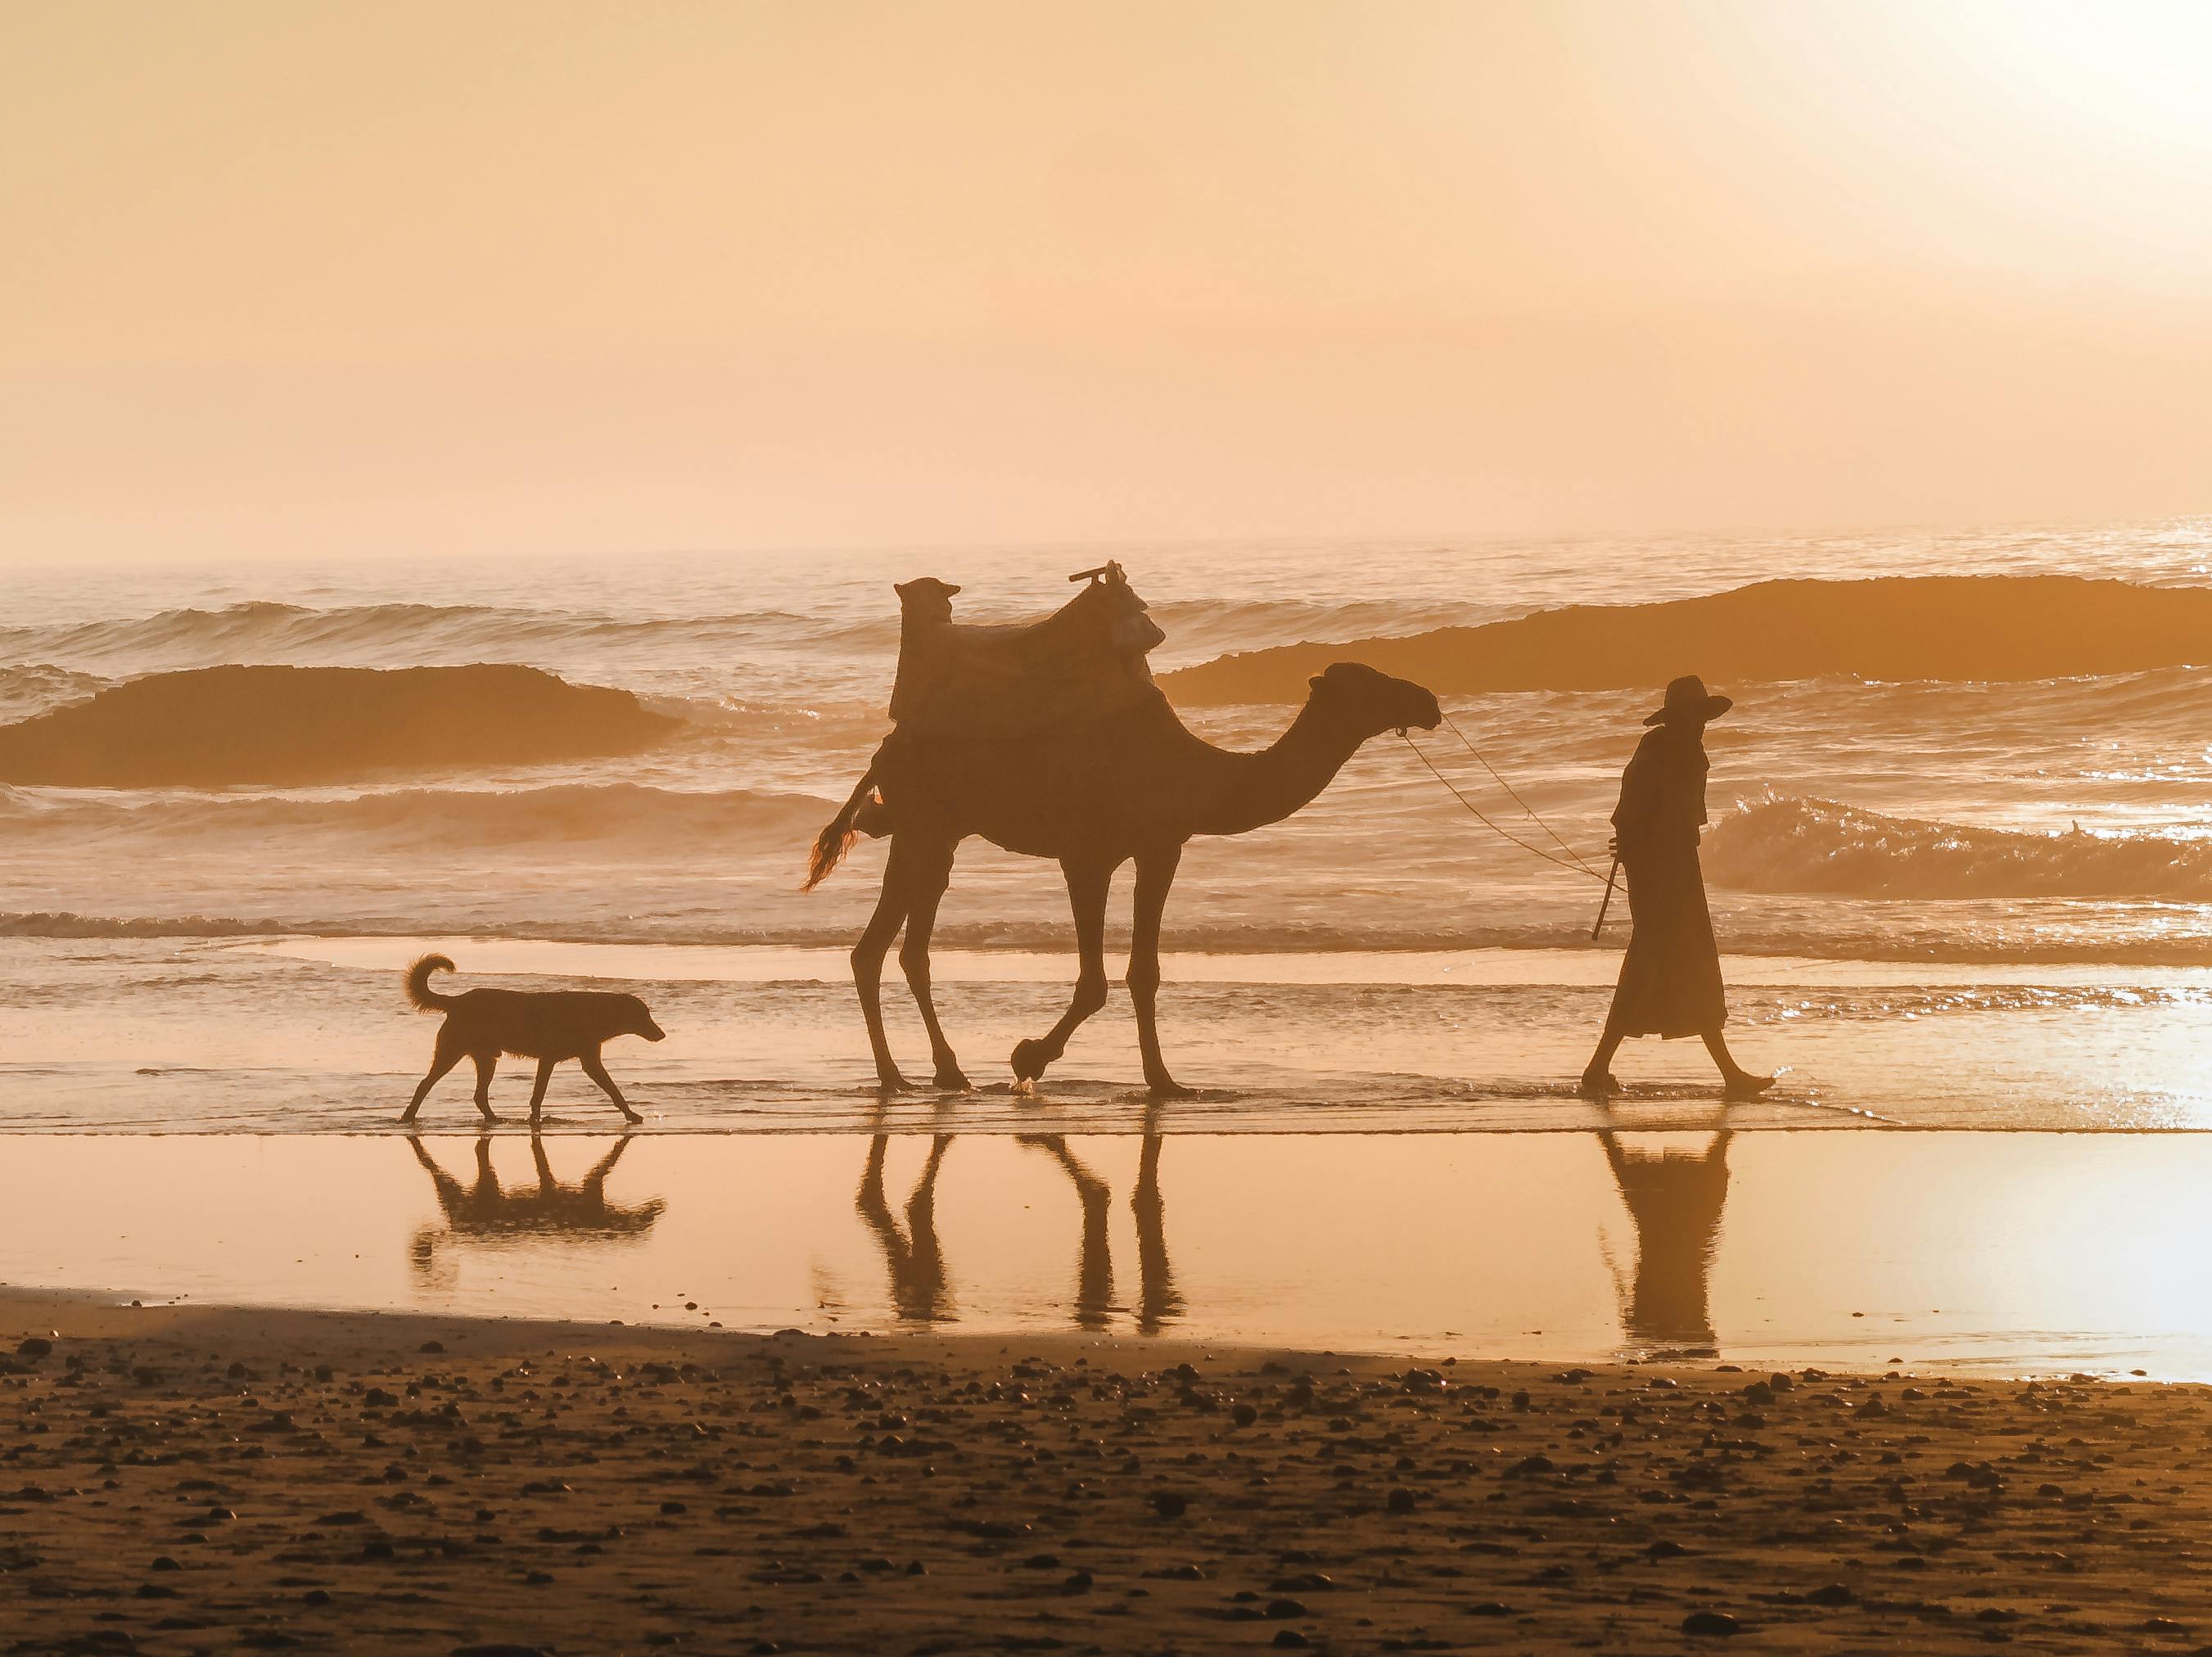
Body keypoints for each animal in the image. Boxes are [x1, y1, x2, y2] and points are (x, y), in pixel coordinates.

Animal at [805, 660, 1442, 1094]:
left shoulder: (1160, 849)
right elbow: (1096, 981)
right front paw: (1027, 1059)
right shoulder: (1088, 854)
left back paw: (926, 1073)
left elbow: (1145, 973)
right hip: (928, 830)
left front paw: (1165, 1081)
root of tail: (880, 755)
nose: (1429, 699)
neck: (1202, 775)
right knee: (895, 946)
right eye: (1368, 684)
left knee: (889, 949)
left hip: (930, 834)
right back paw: (915, 1074)